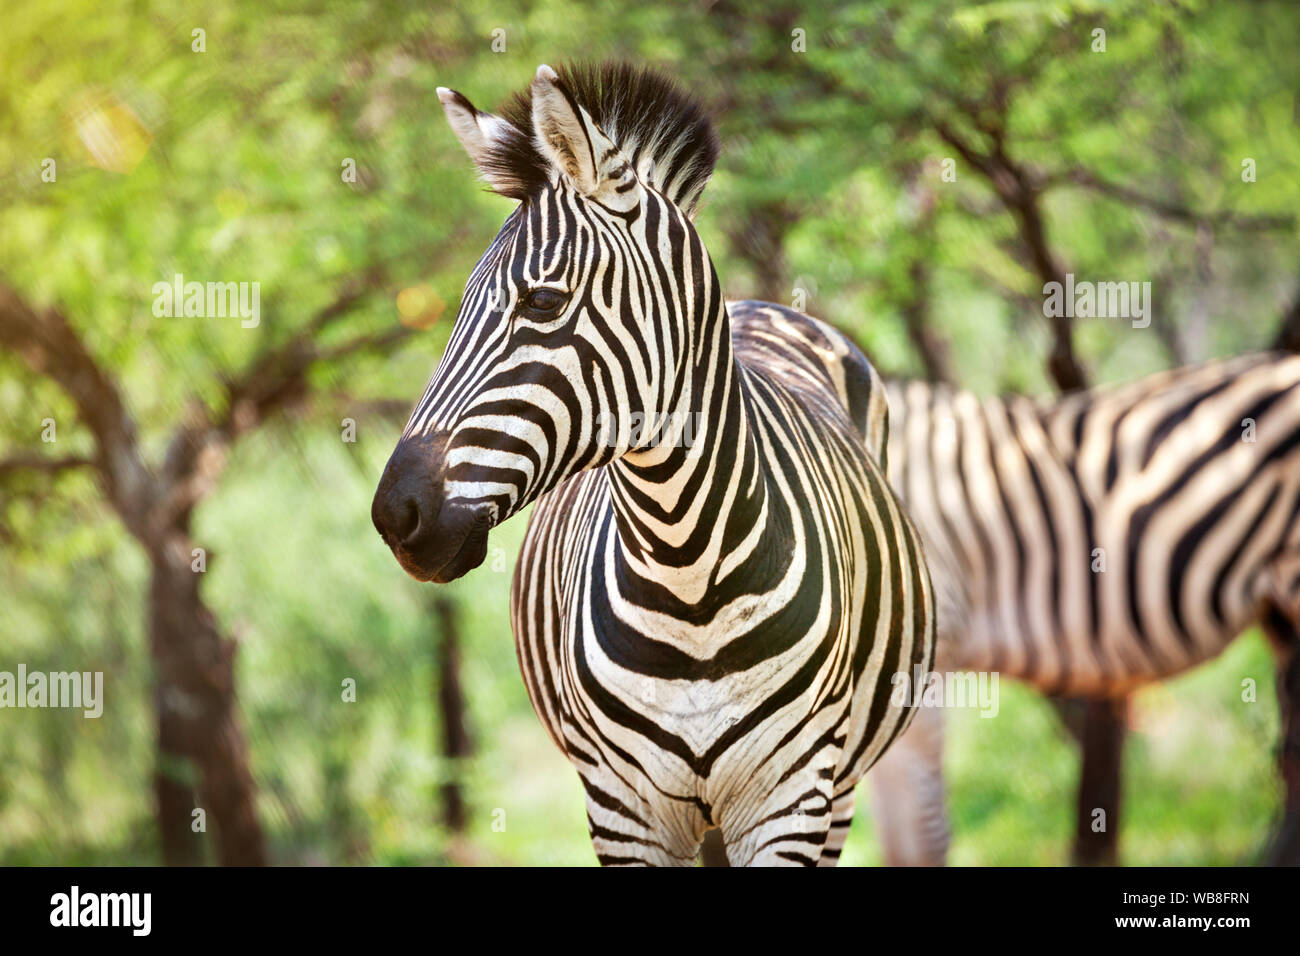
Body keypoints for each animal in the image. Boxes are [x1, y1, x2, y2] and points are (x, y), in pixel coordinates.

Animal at [369, 62, 935, 866]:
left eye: (542, 303)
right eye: (457, 308)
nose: (396, 513)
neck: (686, 567)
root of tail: (767, 304)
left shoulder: (792, 798)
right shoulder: (622, 807)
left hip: (838, 788)